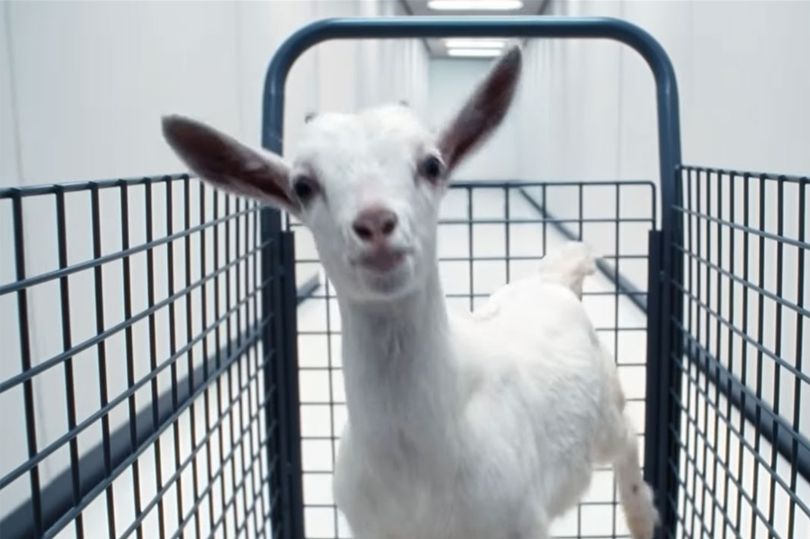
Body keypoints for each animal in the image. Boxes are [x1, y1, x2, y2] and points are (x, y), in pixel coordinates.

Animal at [162, 45, 658, 539]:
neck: (417, 472)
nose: (375, 223)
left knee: (629, 437)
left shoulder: (520, 522)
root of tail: (551, 279)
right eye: (302, 185)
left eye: (431, 165)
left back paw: (641, 517)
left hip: (607, 405)